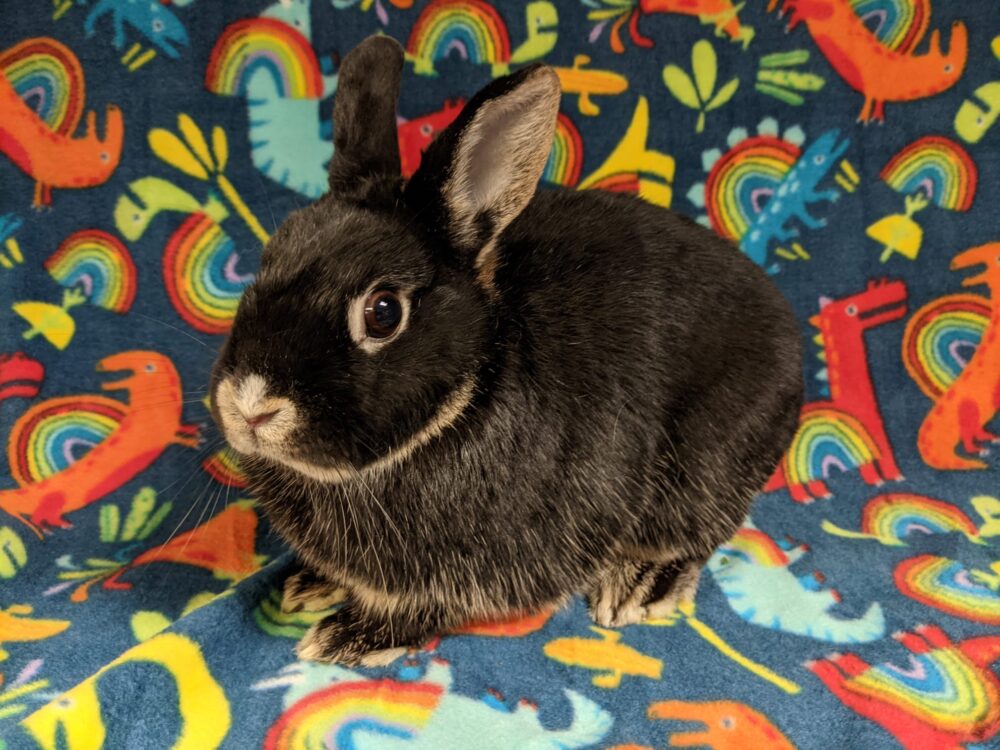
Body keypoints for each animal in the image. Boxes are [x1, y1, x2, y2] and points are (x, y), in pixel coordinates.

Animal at [210, 35, 804, 666]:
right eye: (268, 260)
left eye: (383, 312)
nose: (249, 407)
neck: (466, 395)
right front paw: (308, 583)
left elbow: (427, 607)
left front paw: (349, 637)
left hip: (705, 468)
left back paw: (637, 586)